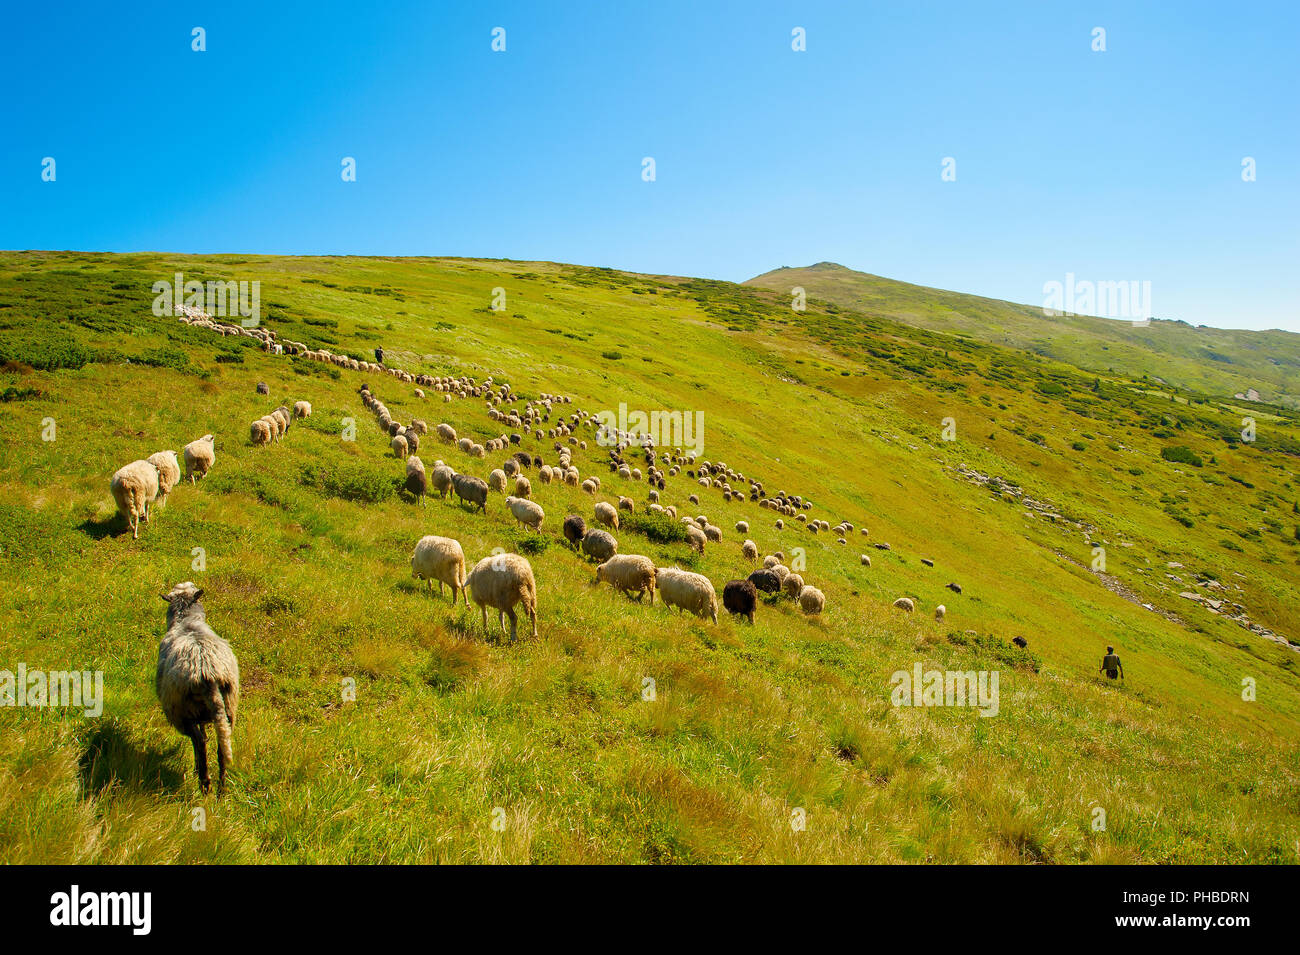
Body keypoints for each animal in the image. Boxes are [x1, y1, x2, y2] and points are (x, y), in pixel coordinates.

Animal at [156, 581, 240, 795]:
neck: (186, 623)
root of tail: (208, 673)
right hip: (228, 708)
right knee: (221, 745)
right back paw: (221, 789)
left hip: (182, 712)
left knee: (199, 742)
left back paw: (204, 782)